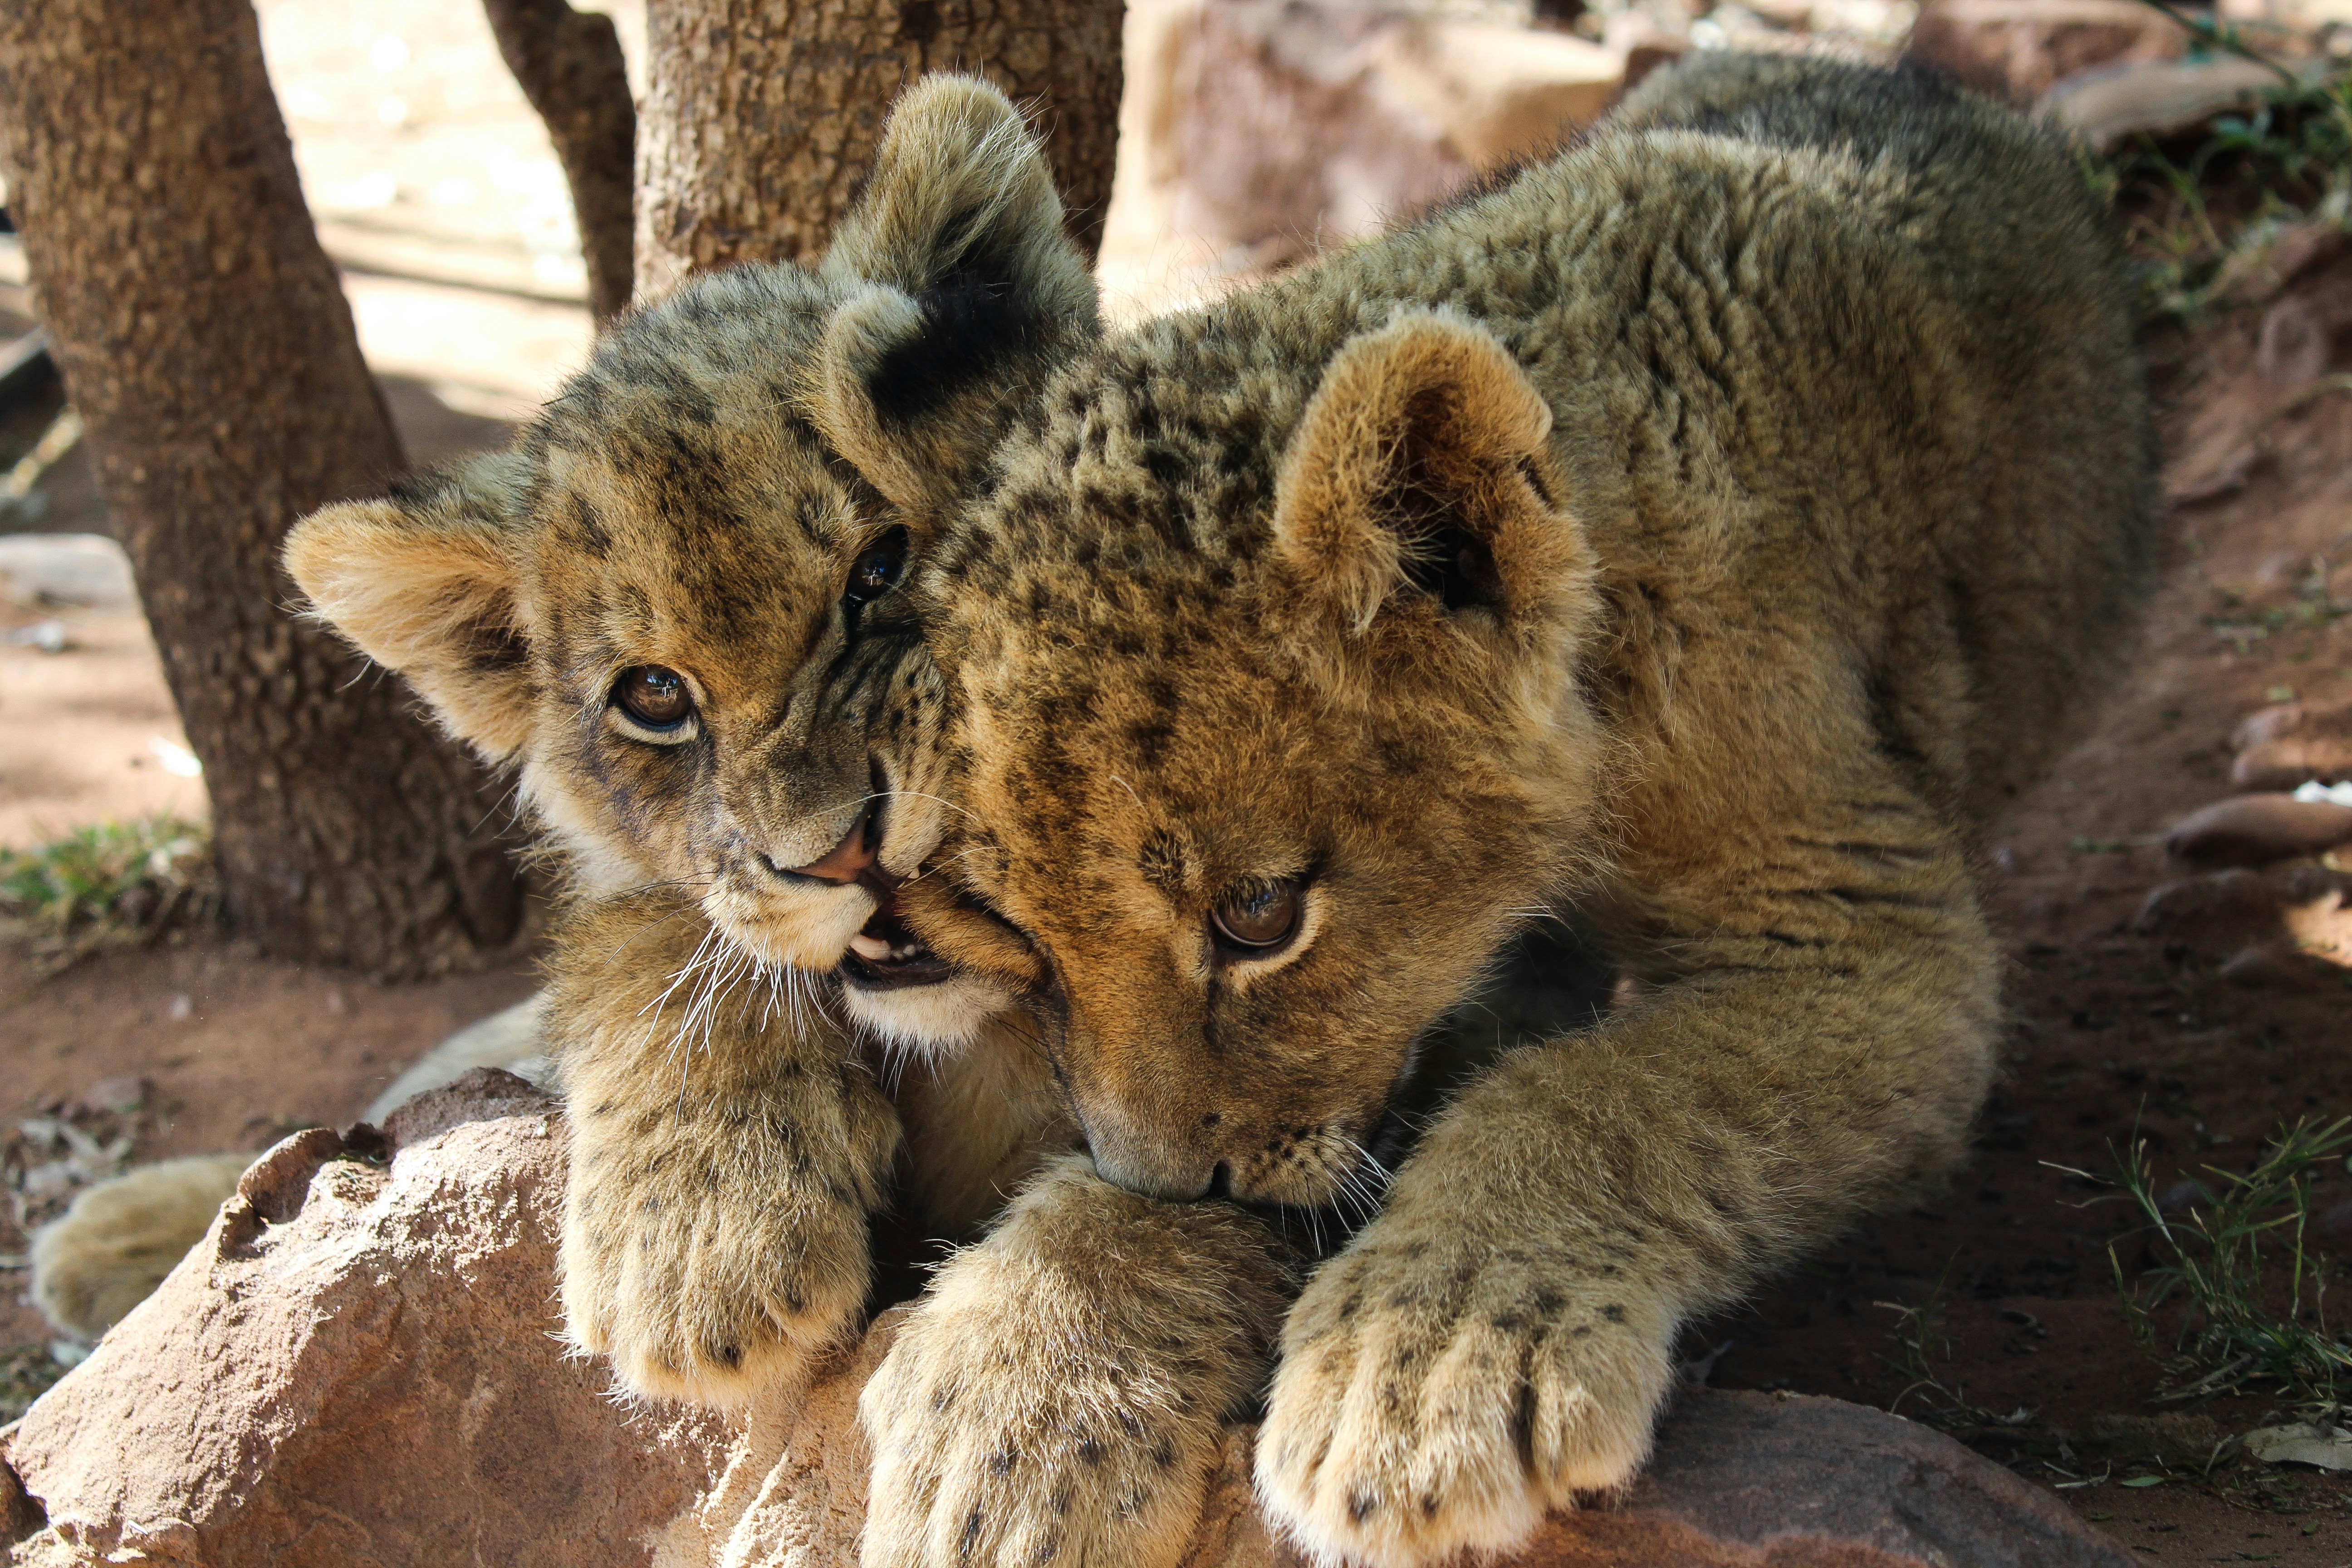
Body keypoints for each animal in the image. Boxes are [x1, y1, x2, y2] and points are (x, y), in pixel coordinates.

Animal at [852, 51, 2159, 1568]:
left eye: (1260, 915)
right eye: (1023, 935)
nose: (1175, 1184)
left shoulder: (1871, 928)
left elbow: (1603, 1087)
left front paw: (1429, 1365)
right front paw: (1020, 1387)